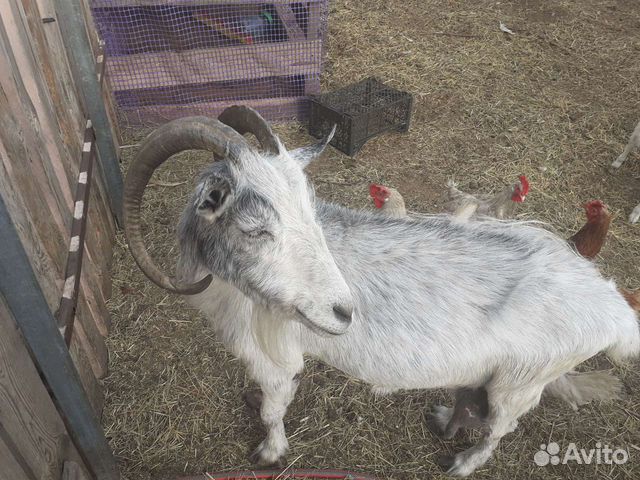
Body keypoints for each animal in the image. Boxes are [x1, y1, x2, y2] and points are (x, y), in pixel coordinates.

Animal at [122, 106, 640, 477]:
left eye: (309, 211)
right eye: (256, 229)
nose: (344, 312)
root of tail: (615, 310)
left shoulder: (276, 361)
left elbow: (274, 410)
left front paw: (270, 453)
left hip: (522, 381)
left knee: (501, 427)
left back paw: (462, 463)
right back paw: (444, 418)